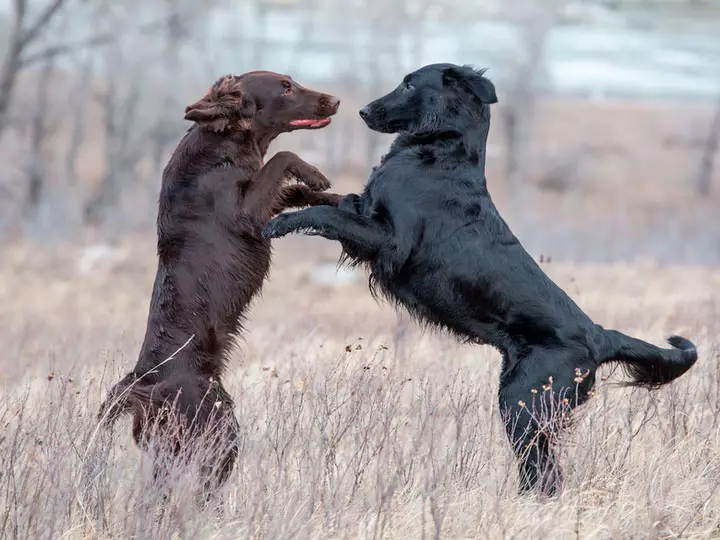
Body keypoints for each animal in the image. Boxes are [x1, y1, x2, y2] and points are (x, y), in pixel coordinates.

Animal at [97, 71, 344, 506]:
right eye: (285, 87)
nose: (335, 101)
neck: (223, 145)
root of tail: (144, 382)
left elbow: (294, 191)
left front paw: (336, 197)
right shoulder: (244, 211)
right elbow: (282, 159)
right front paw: (315, 173)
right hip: (217, 431)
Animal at [262, 61, 696, 496]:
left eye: (408, 84)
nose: (363, 111)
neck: (439, 152)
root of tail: (599, 335)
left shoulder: (391, 242)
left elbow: (328, 215)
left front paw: (282, 222)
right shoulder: (365, 211)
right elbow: (337, 202)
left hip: (523, 404)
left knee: (546, 473)